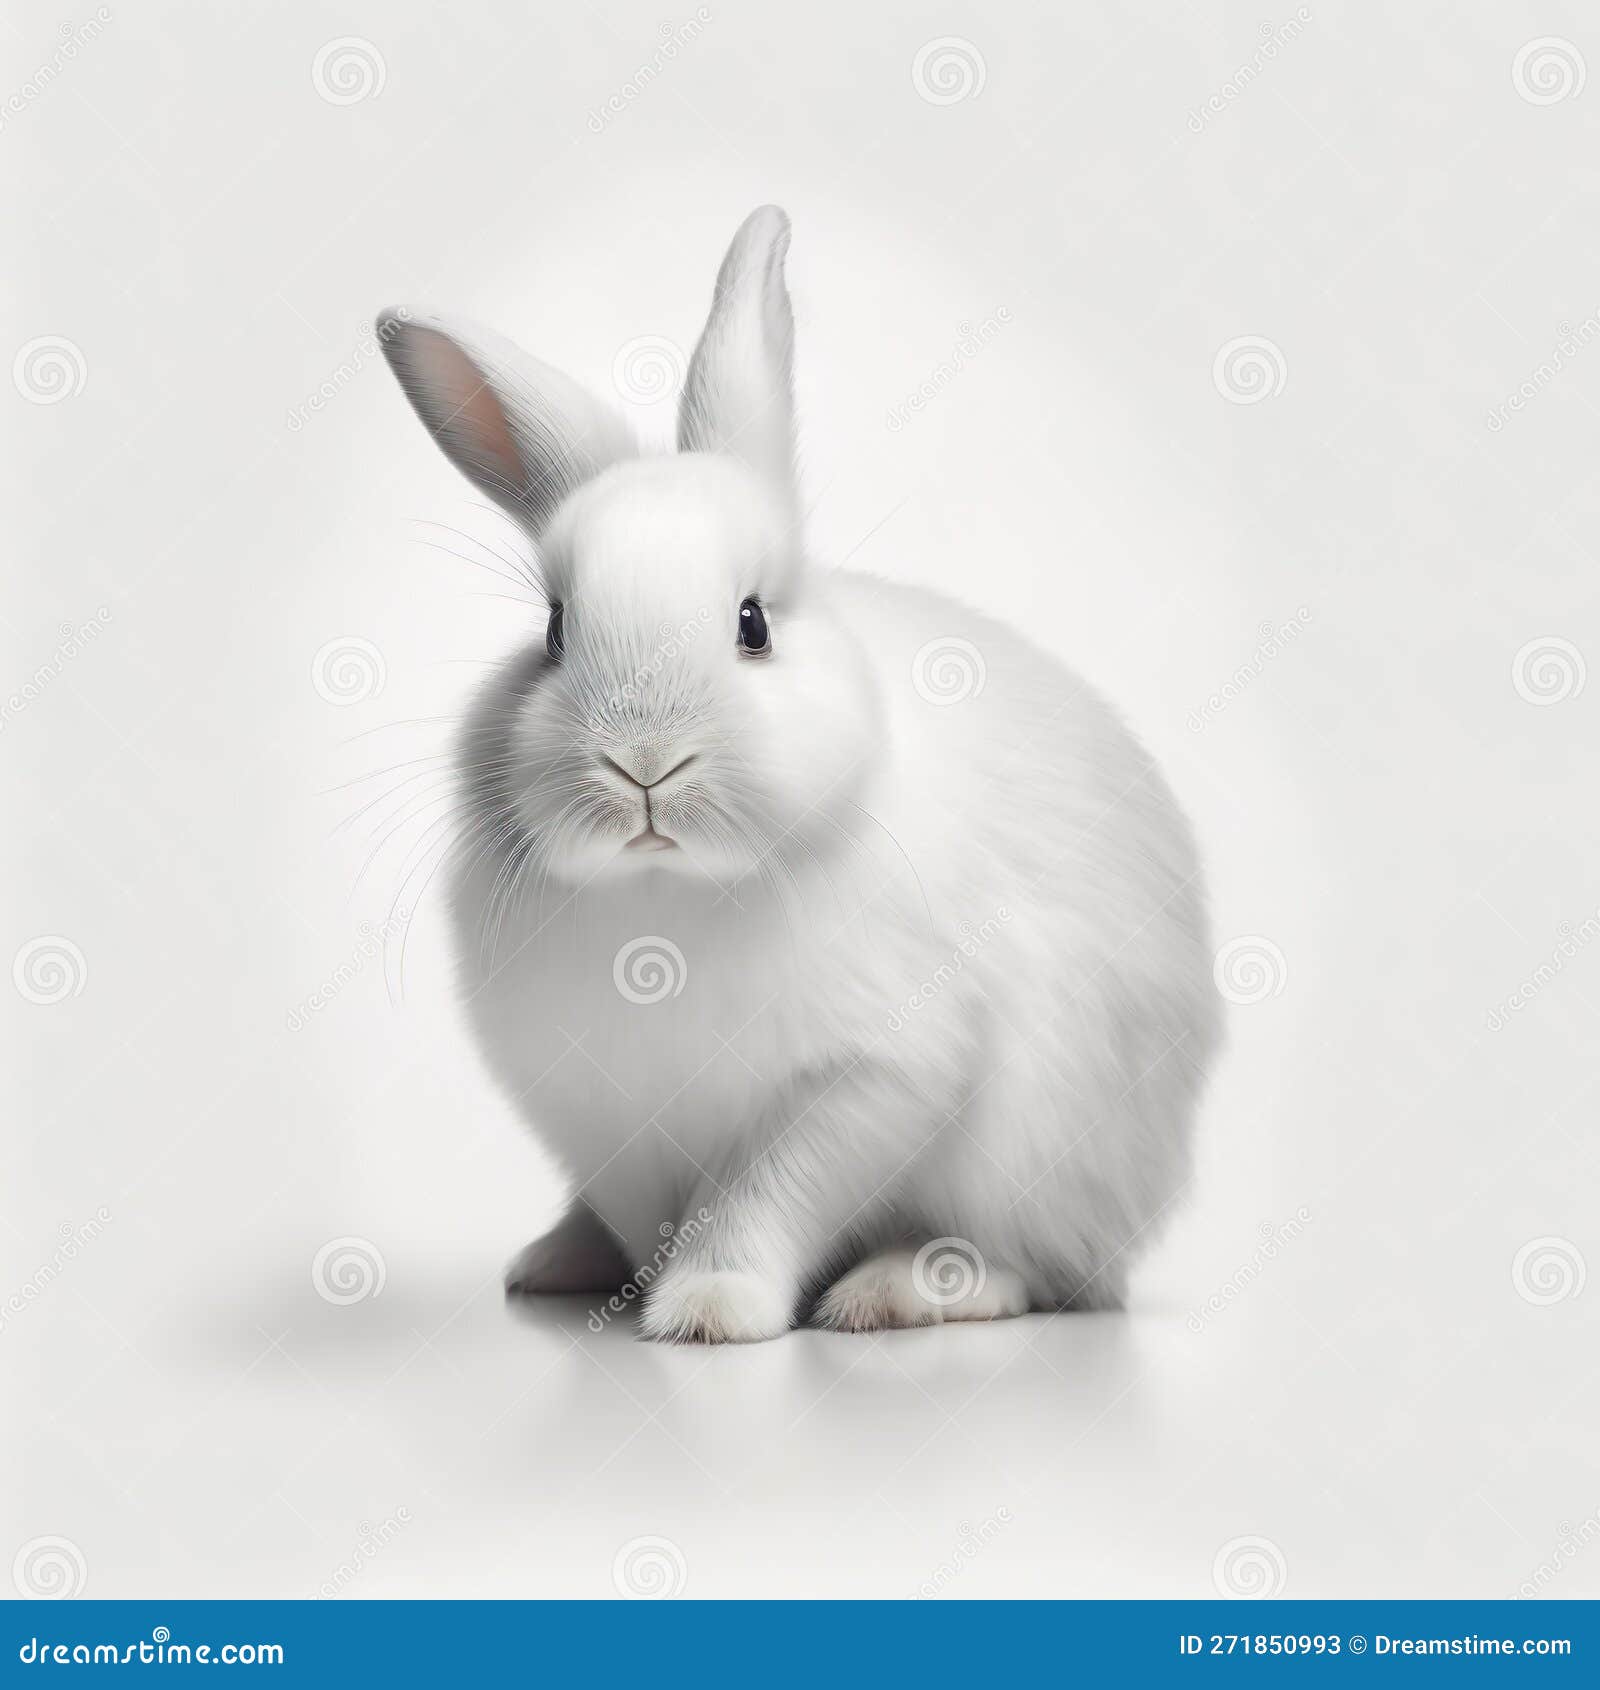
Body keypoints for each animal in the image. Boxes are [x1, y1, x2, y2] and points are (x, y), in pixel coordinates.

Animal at [376, 205, 1220, 1343]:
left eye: (752, 623)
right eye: (553, 630)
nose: (643, 761)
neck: (665, 896)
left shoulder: (874, 1076)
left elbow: (764, 1198)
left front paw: (707, 1309)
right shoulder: (600, 1119)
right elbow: (653, 1212)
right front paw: (651, 1292)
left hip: (1052, 1153)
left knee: (1035, 1269)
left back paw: (896, 1291)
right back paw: (554, 1261)